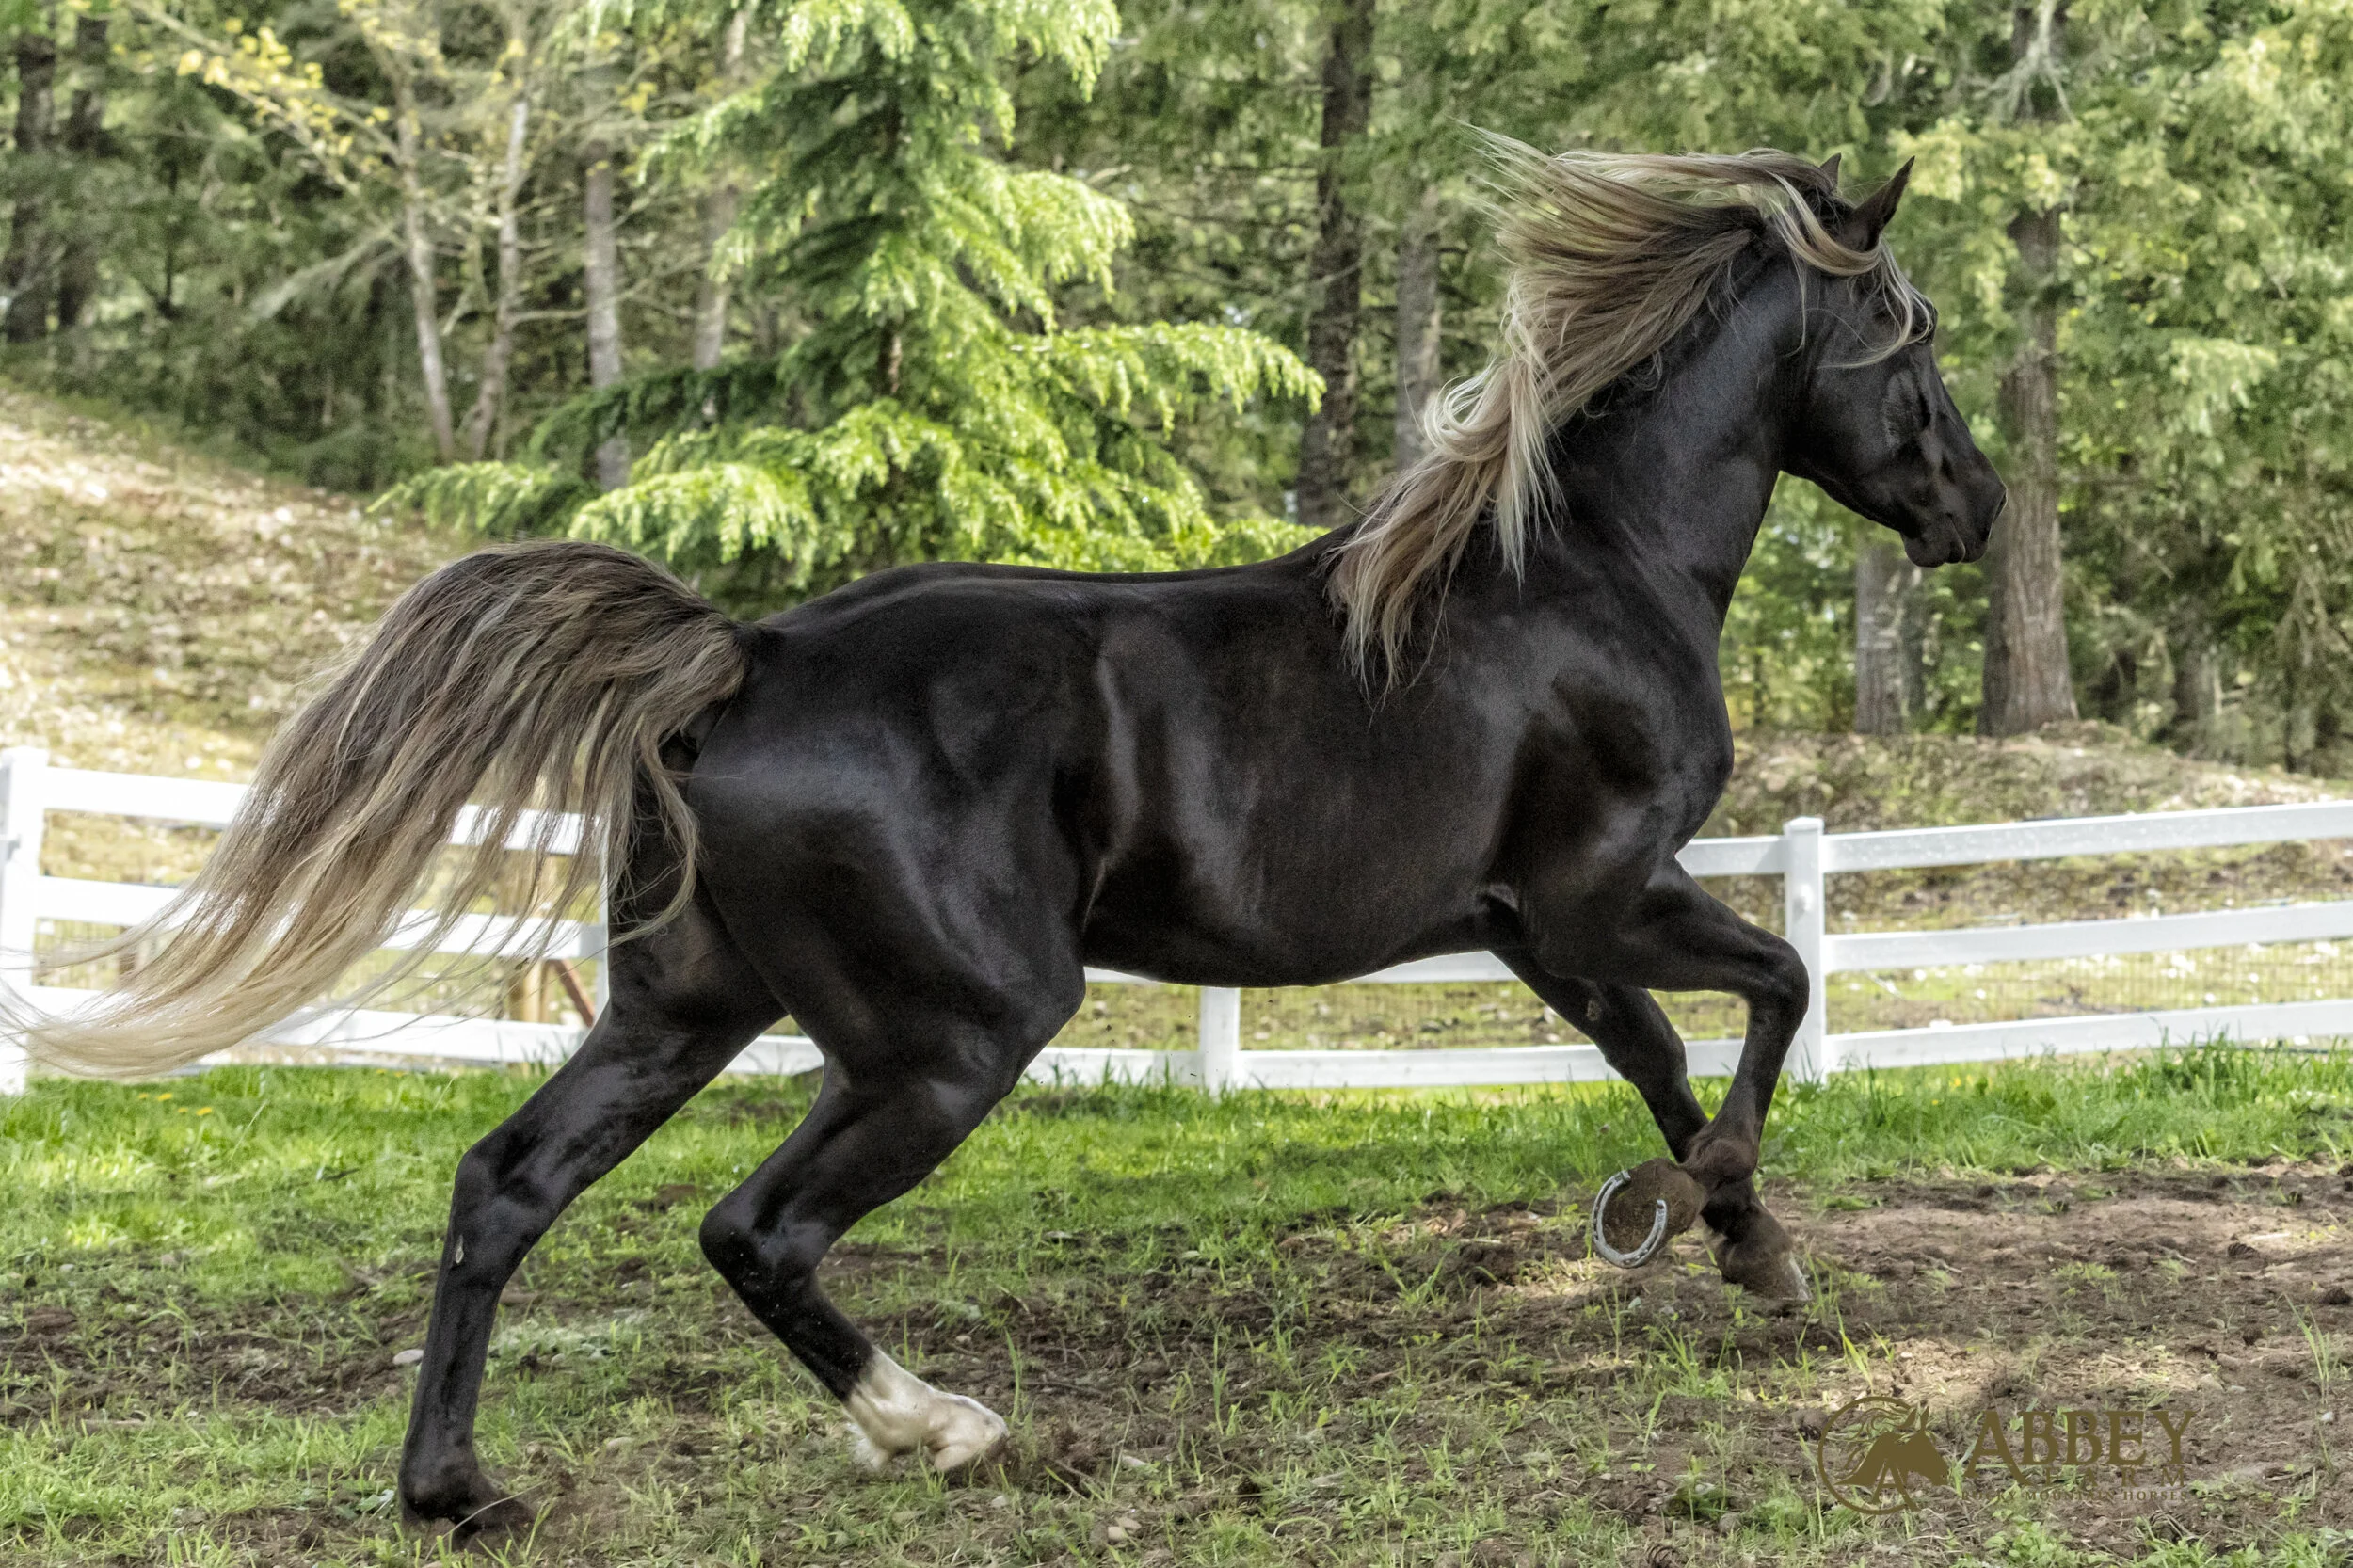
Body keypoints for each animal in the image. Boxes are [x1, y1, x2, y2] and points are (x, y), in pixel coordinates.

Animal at [20, 144, 2003, 1538]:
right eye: (1910, 336)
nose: (1974, 507)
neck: (1577, 570)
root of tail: (739, 659)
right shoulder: (1600, 893)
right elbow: (1776, 987)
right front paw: (1721, 1218)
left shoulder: (1541, 928)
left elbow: (1663, 1055)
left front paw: (1741, 1241)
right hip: (948, 1038)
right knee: (755, 1229)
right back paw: (940, 1426)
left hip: (683, 1008)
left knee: (505, 1185)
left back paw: (458, 1490)